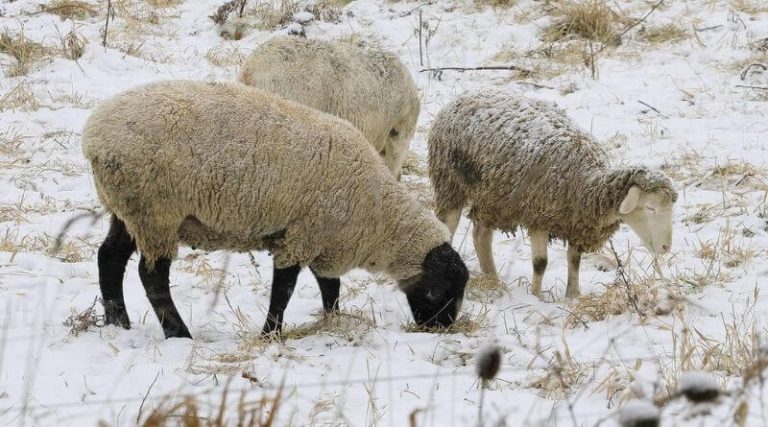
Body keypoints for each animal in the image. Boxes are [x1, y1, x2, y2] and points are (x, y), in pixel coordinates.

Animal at [81, 80, 467, 339]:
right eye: (441, 291)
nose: (442, 328)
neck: (377, 214)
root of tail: (94, 135)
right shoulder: (301, 236)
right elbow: (284, 291)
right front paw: (270, 334)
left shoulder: (320, 239)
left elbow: (330, 286)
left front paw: (332, 319)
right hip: (156, 210)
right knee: (152, 277)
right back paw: (178, 334)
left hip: (129, 210)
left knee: (109, 257)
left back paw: (118, 323)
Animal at [427, 90, 677, 299]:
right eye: (651, 208)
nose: (666, 248)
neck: (586, 185)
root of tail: (461, 98)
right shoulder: (538, 216)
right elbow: (540, 263)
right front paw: (536, 297)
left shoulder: (576, 222)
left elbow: (574, 260)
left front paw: (572, 295)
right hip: (450, 186)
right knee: (447, 230)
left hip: (492, 197)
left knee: (481, 236)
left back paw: (493, 282)